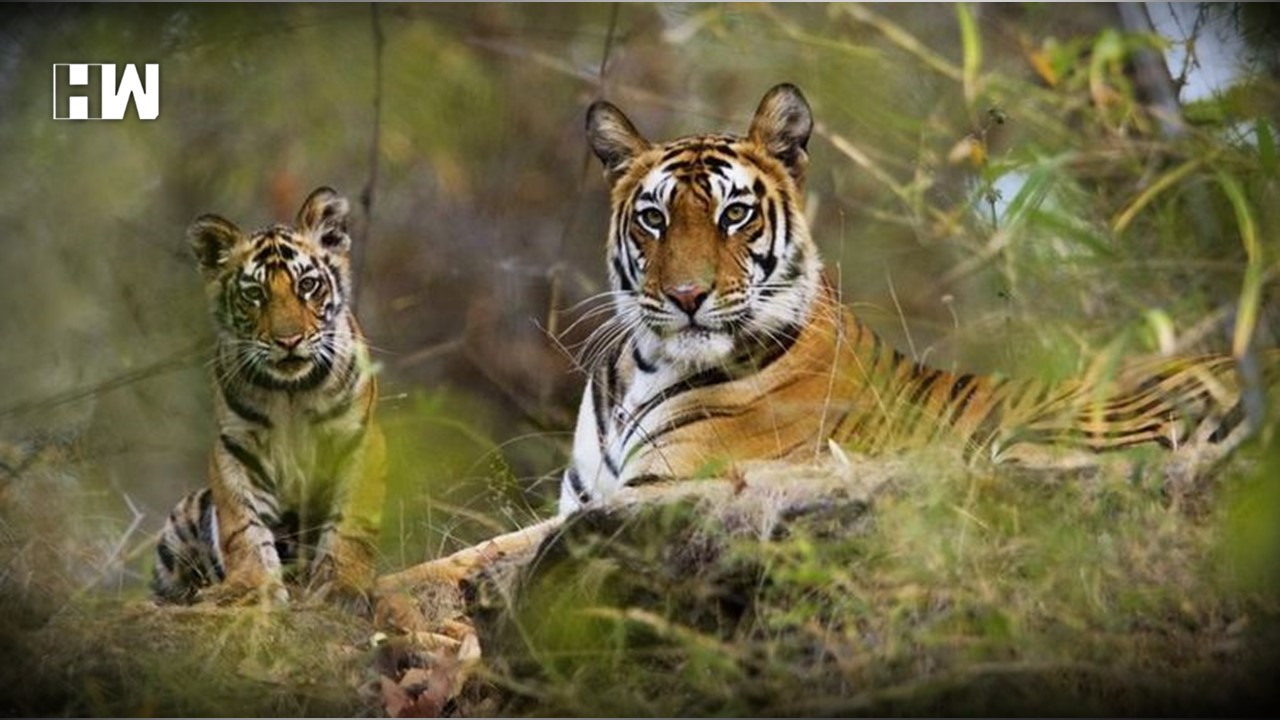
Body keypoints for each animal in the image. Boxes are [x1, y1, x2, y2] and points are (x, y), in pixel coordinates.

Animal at [152, 187, 386, 607]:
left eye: (307, 285)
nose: (288, 340)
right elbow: (243, 527)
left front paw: (342, 587)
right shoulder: (235, 449)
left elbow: (351, 526)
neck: (291, 391)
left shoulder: (359, 440)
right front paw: (251, 587)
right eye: (254, 294)